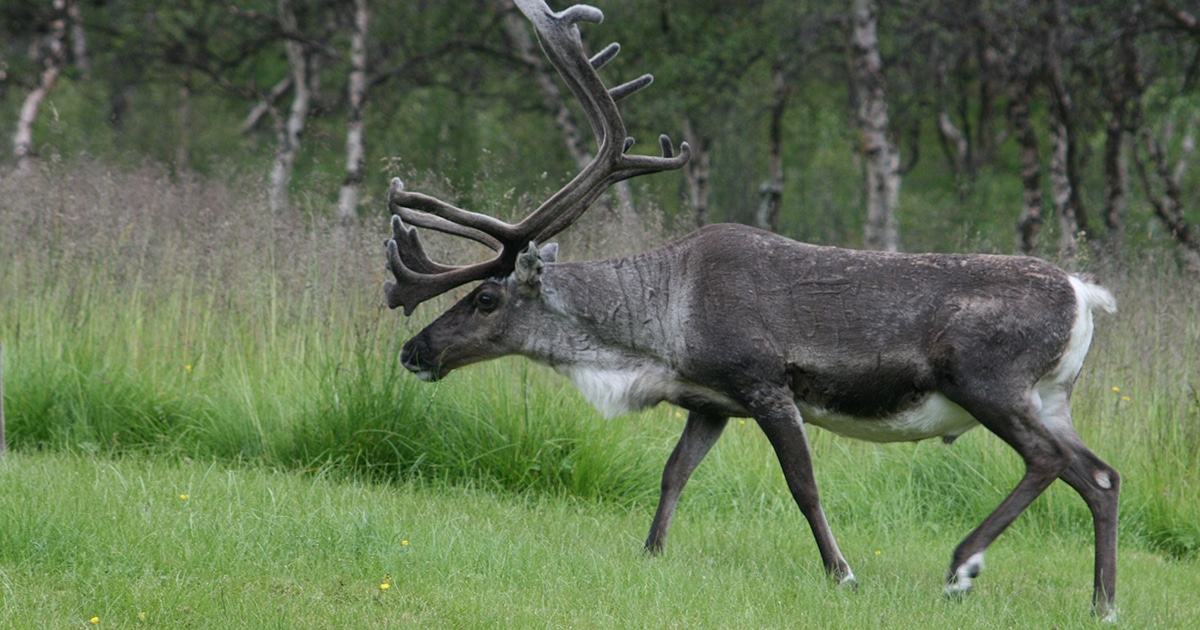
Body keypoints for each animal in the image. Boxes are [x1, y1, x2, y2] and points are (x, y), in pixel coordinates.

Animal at [381, 0, 1120, 620]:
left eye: (485, 298)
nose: (413, 351)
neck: (657, 335)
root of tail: (1085, 295)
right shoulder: (711, 401)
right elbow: (673, 474)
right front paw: (651, 554)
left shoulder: (763, 382)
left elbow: (804, 484)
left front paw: (843, 574)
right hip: (1051, 396)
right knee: (1099, 475)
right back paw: (1103, 604)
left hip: (986, 380)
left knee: (1048, 461)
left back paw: (963, 567)